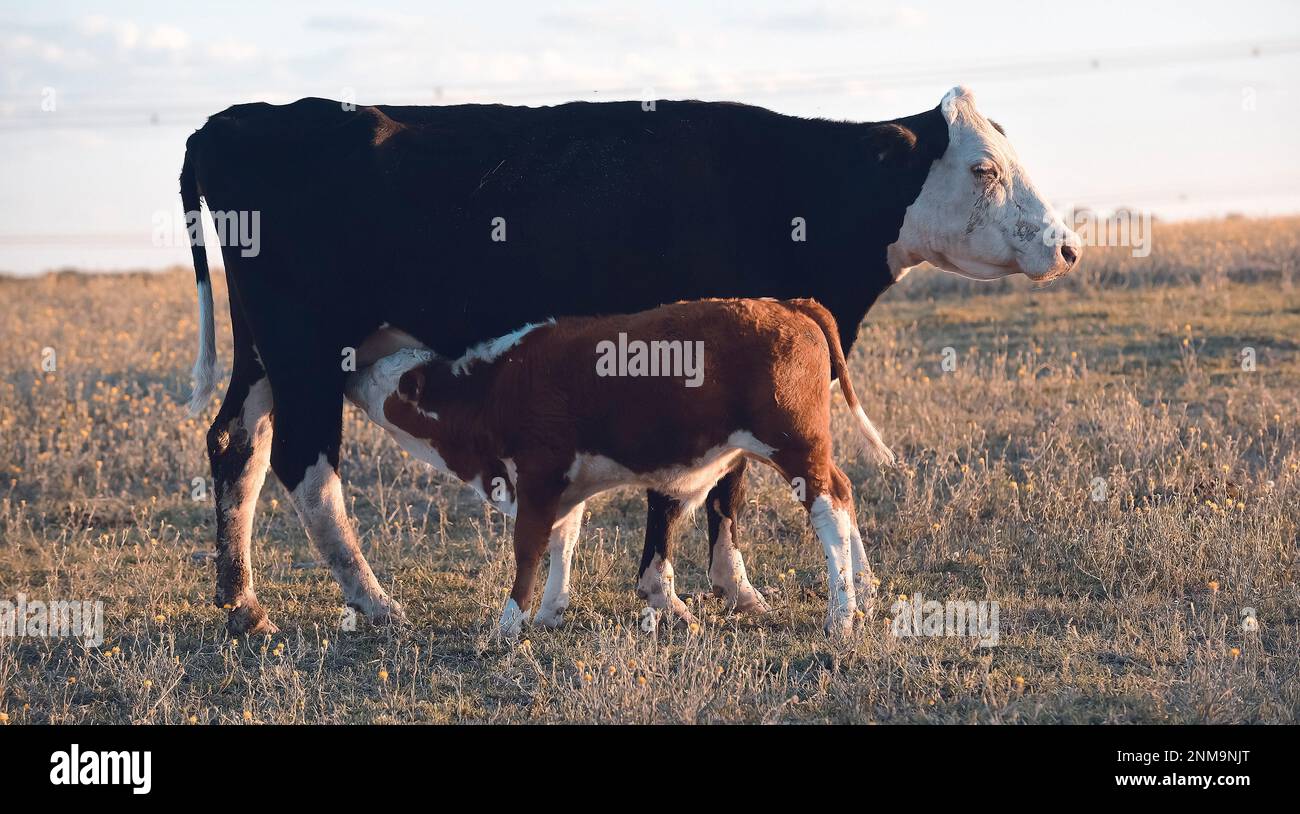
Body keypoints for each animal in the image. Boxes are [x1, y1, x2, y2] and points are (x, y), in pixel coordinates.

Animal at [345, 298, 893, 636]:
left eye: (396, 379)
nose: (355, 371)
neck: (495, 389)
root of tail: (786, 304)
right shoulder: (562, 485)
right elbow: (563, 540)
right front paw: (549, 611)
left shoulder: (538, 476)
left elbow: (528, 549)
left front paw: (508, 623)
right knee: (844, 491)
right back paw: (864, 591)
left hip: (794, 446)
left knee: (829, 510)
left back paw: (841, 615)